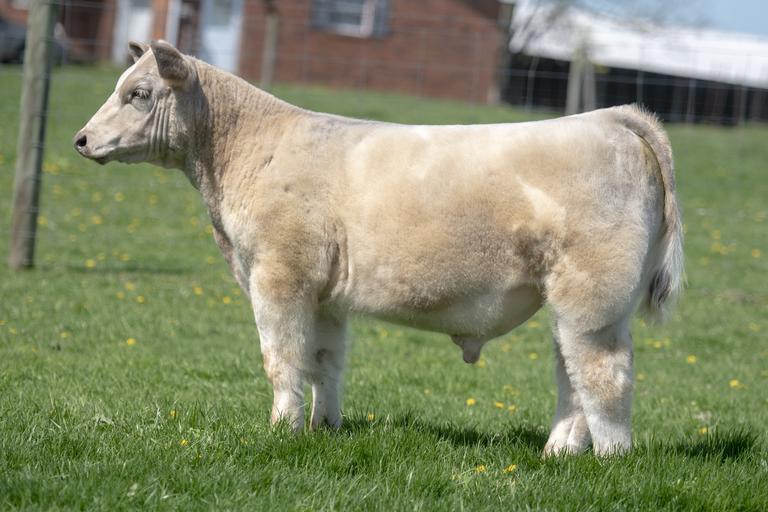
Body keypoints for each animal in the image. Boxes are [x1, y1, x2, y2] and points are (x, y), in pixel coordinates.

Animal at [74, 41, 683, 456]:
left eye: (138, 94)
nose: (80, 139)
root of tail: (612, 118)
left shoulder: (278, 275)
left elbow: (282, 359)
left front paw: (281, 431)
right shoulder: (323, 295)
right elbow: (325, 363)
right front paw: (321, 429)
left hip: (593, 301)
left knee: (603, 373)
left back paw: (608, 458)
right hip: (572, 304)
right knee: (571, 375)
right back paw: (559, 452)